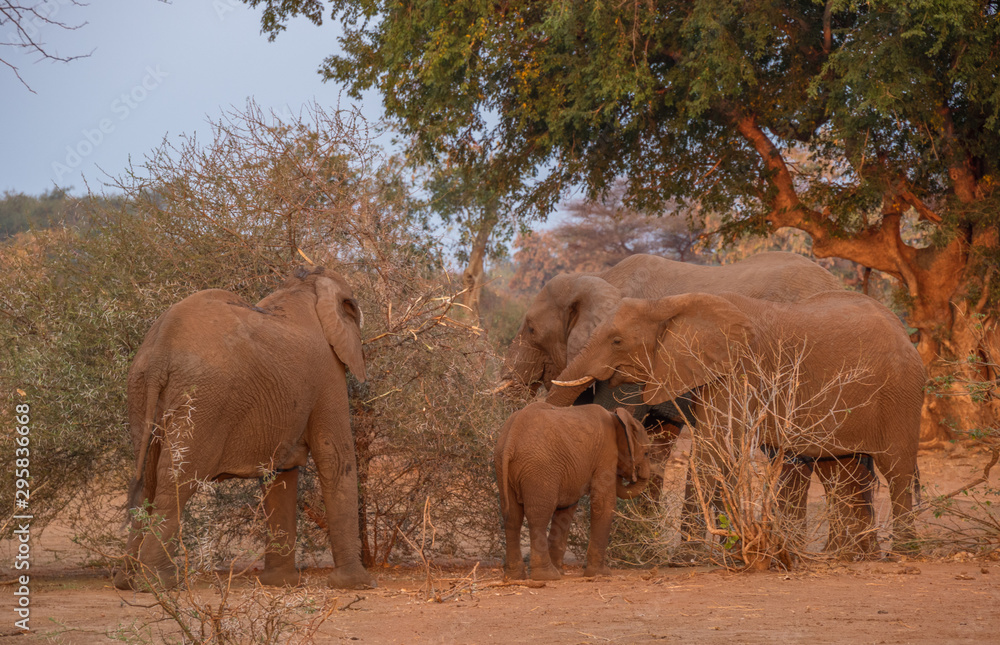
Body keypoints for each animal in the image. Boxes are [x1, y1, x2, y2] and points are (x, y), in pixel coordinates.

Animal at [113, 266, 375, 591]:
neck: (307, 286)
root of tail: (161, 349)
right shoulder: (327, 372)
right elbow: (336, 459)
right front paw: (355, 584)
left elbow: (279, 474)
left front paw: (280, 583)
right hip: (205, 400)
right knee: (177, 479)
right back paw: (158, 583)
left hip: (139, 389)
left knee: (147, 477)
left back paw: (126, 581)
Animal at [494, 402, 651, 580]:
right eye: (646, 453)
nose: (633, 475)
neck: (617, 418)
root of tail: (511, 438)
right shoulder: (606, 454)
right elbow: (603, 503)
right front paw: (600, 574)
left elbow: (566, 510)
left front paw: (563, 571)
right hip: (539, 468)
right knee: (538, 517)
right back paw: (547, 576)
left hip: (502, 466)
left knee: (512, 517)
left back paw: (516, 576)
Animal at [547, 291, 925, 554]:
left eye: (617, 341)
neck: (669, 302)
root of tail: (904, 332)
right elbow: (719, 451)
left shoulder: (740, 372)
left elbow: (714, 449)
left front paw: (691, 558)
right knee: (841, 470)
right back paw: (845, 556)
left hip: (901, 395)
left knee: (897, 469)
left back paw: (904, 553)